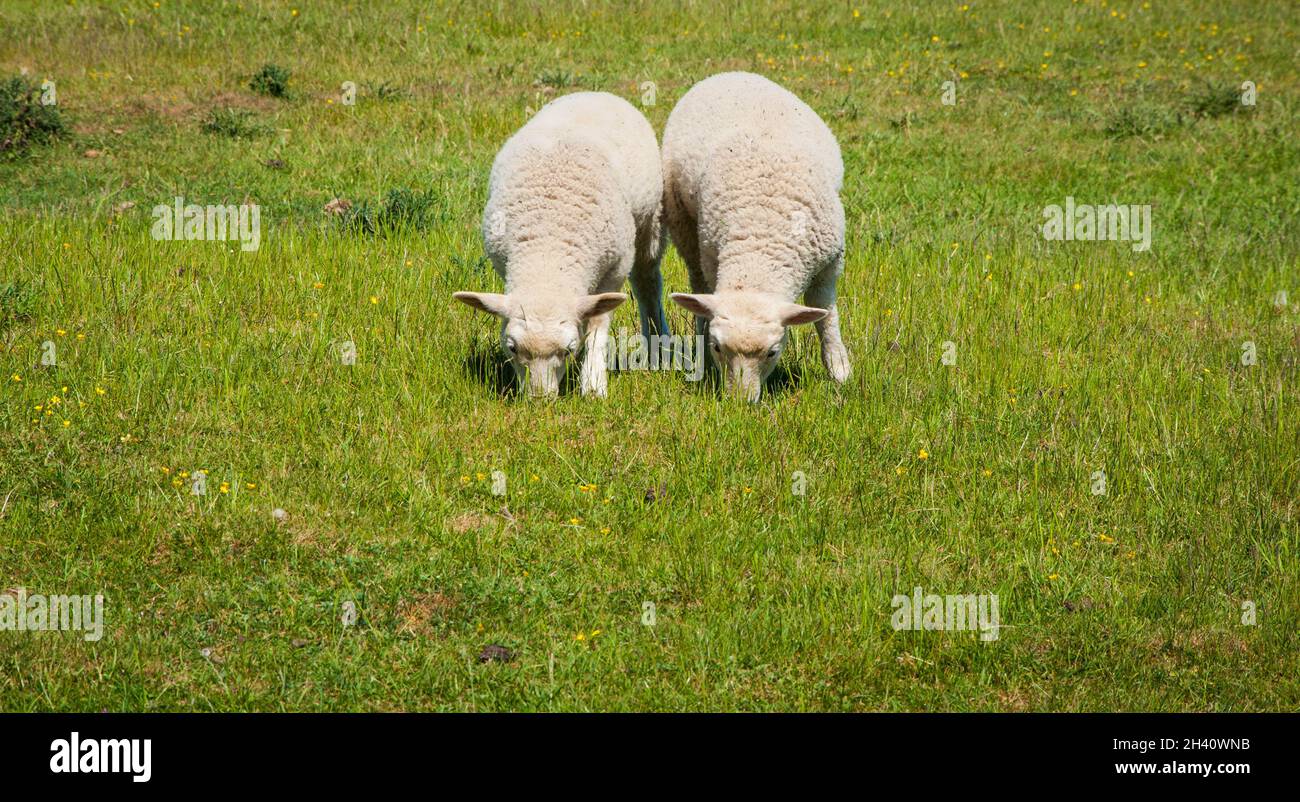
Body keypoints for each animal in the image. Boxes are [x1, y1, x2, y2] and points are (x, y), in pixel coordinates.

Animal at [454, 91, 669, 397]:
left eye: (569, 349)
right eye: (512, 348)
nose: (540, 399)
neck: (548, 248)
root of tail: (594, 93)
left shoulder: (614, 269)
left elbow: (597, 326)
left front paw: (593, 386)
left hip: (649, 224)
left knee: (646, 283)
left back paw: (656, 345)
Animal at [662, 71, 851, 402]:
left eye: (773, 352)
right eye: (717, 347)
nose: (741, 403)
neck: (761, 243)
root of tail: (729, 74)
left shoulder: (830, 264)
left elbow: (826, 315)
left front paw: (839, 370)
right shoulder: (712, 257)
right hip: (684, 225)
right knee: (698, 287)